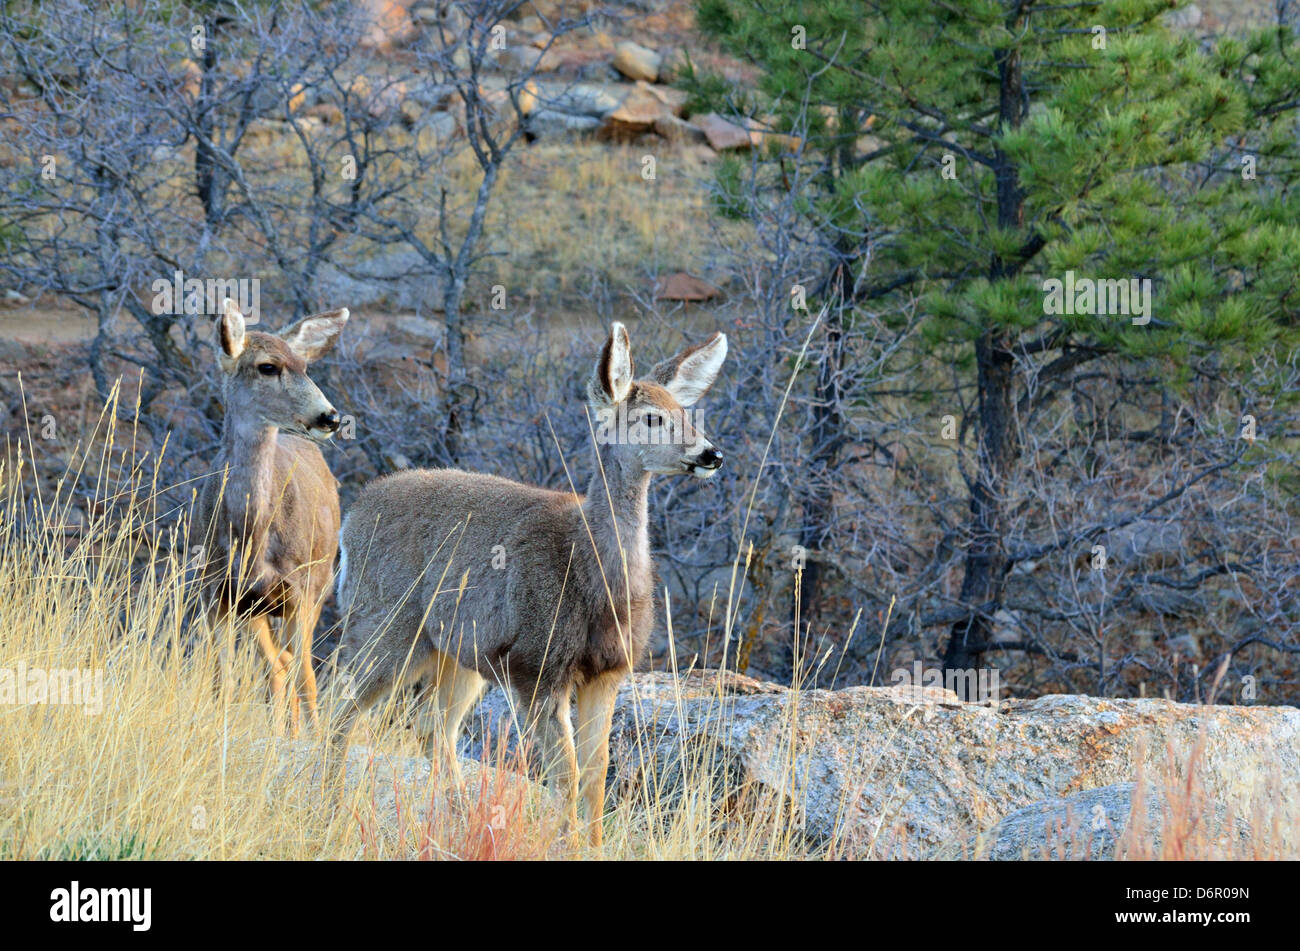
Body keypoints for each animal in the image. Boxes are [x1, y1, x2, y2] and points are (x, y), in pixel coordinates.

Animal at [194, 298, 349, 736]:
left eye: (305, 366)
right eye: (268, 366)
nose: (330, 417)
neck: (252, 535)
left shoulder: (302, 589)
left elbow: (307, 677)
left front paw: (315, 740)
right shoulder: (218, 593)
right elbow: (224, 677)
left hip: (319, 584)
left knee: (293, 666)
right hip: (256, 610)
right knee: (277, 665)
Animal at [322, 321, 727, 844]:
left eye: (686, 411)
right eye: (652, 419)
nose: (711, 454)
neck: (596, 578)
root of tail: (351, 519)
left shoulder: (609, 671)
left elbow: (596, 773)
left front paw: (593, 846)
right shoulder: (537, 666)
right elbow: (566, 774)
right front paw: (566, 844)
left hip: (459, 654)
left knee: (432, 726)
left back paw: (458, 820)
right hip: (384, 626)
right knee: (341, 709)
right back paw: (328, 807)